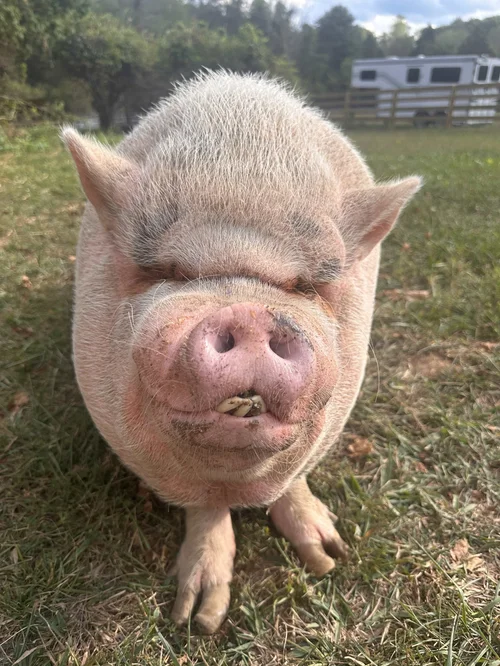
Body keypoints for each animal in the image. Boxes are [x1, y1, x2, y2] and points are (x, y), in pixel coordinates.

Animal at [62, 71, 421, 634]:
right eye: (170, 272)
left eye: (303, 285)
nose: (250, 315)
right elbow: (205, 513)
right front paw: (197, 620)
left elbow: (295, 481)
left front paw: (329, 559)